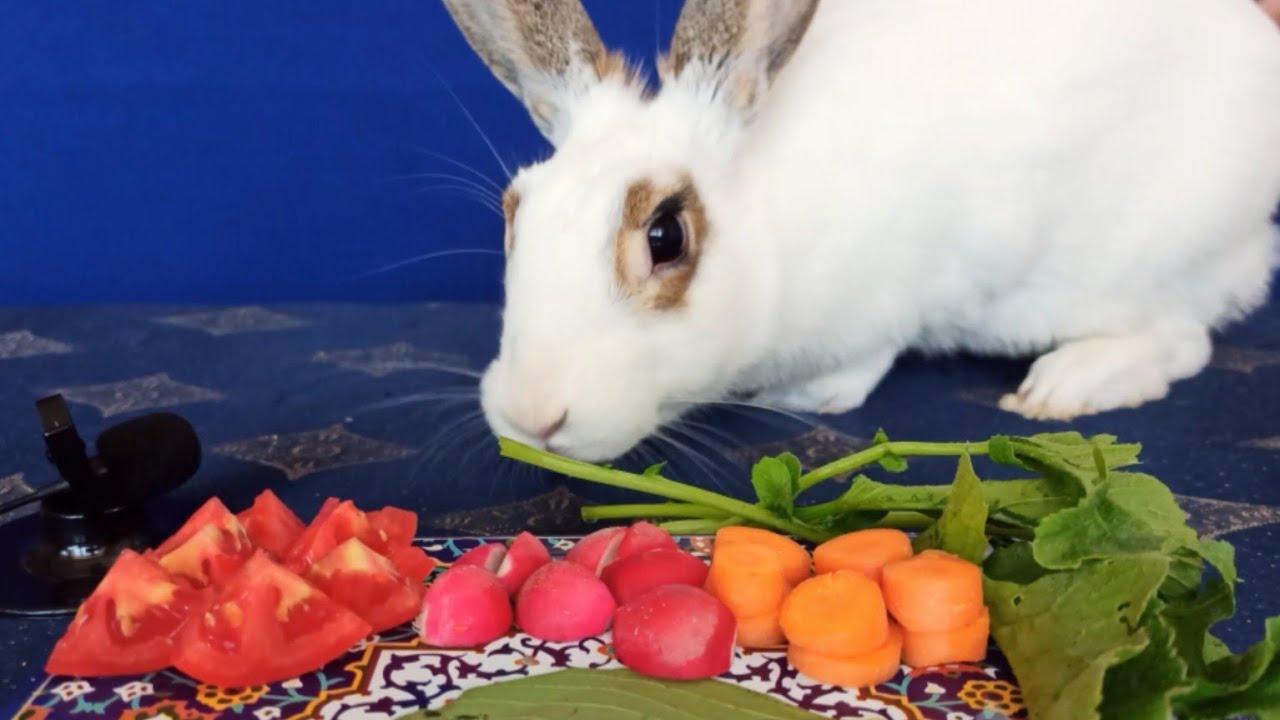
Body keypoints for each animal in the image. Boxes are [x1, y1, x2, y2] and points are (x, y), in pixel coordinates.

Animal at [439, 0, 1280, 463]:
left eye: (666, 235)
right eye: (517, 212)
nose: (533, 416)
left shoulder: (897, 290)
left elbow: (866, 359)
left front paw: (807, 394)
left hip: (1132, 263)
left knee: (1180, 339)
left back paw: (1059, 388)